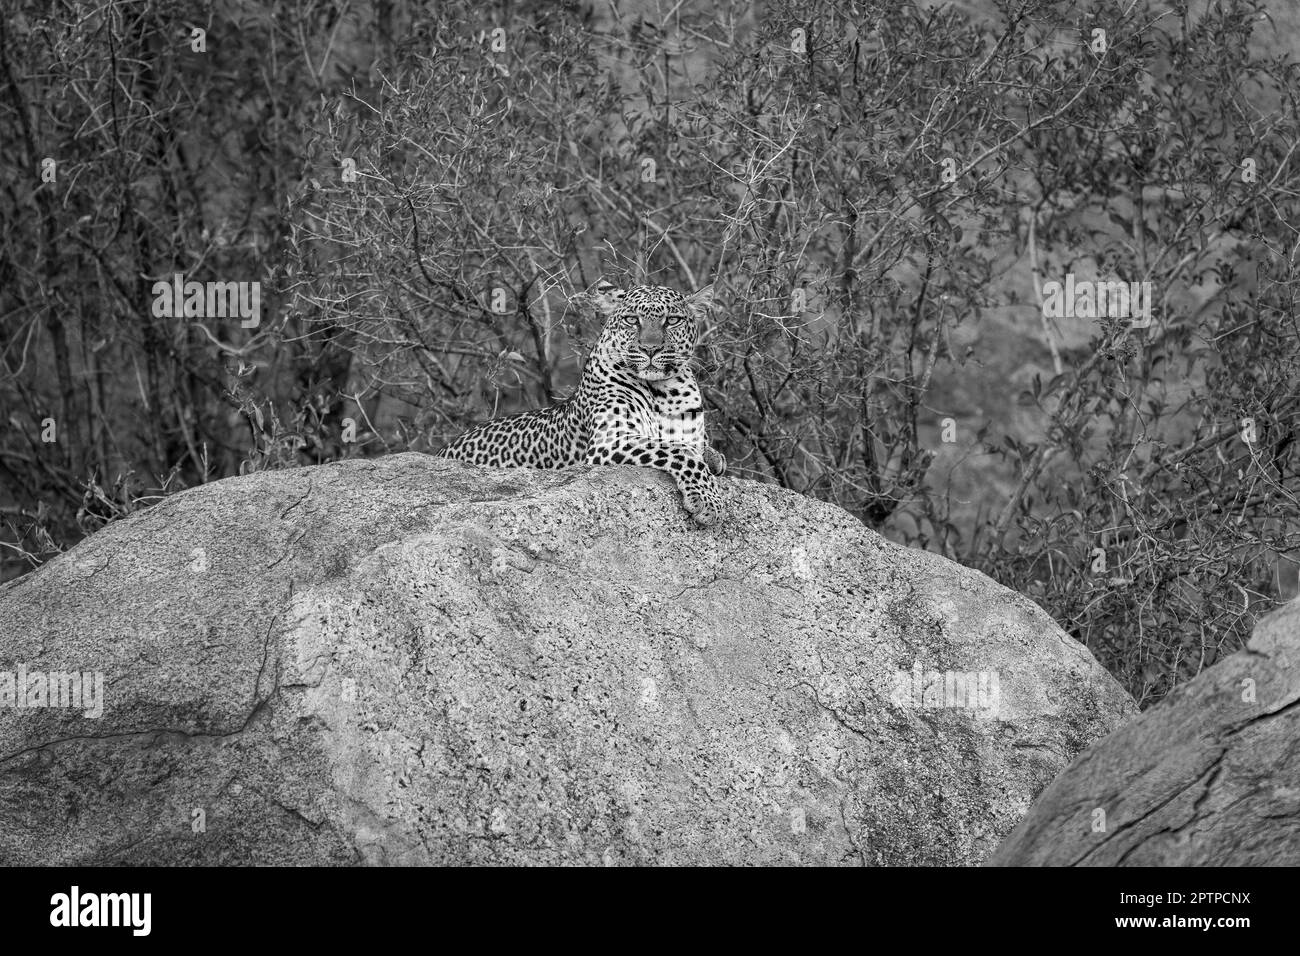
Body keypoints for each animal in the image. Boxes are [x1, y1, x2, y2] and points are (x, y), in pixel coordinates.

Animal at [436, 280, 727, 525]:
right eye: (632, 320)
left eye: (673, 321)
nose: (650, 348)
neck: (663, 392)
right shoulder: (609, 441)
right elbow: (680, 451)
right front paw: (708, 501)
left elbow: (697, 448)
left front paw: (714, 460)